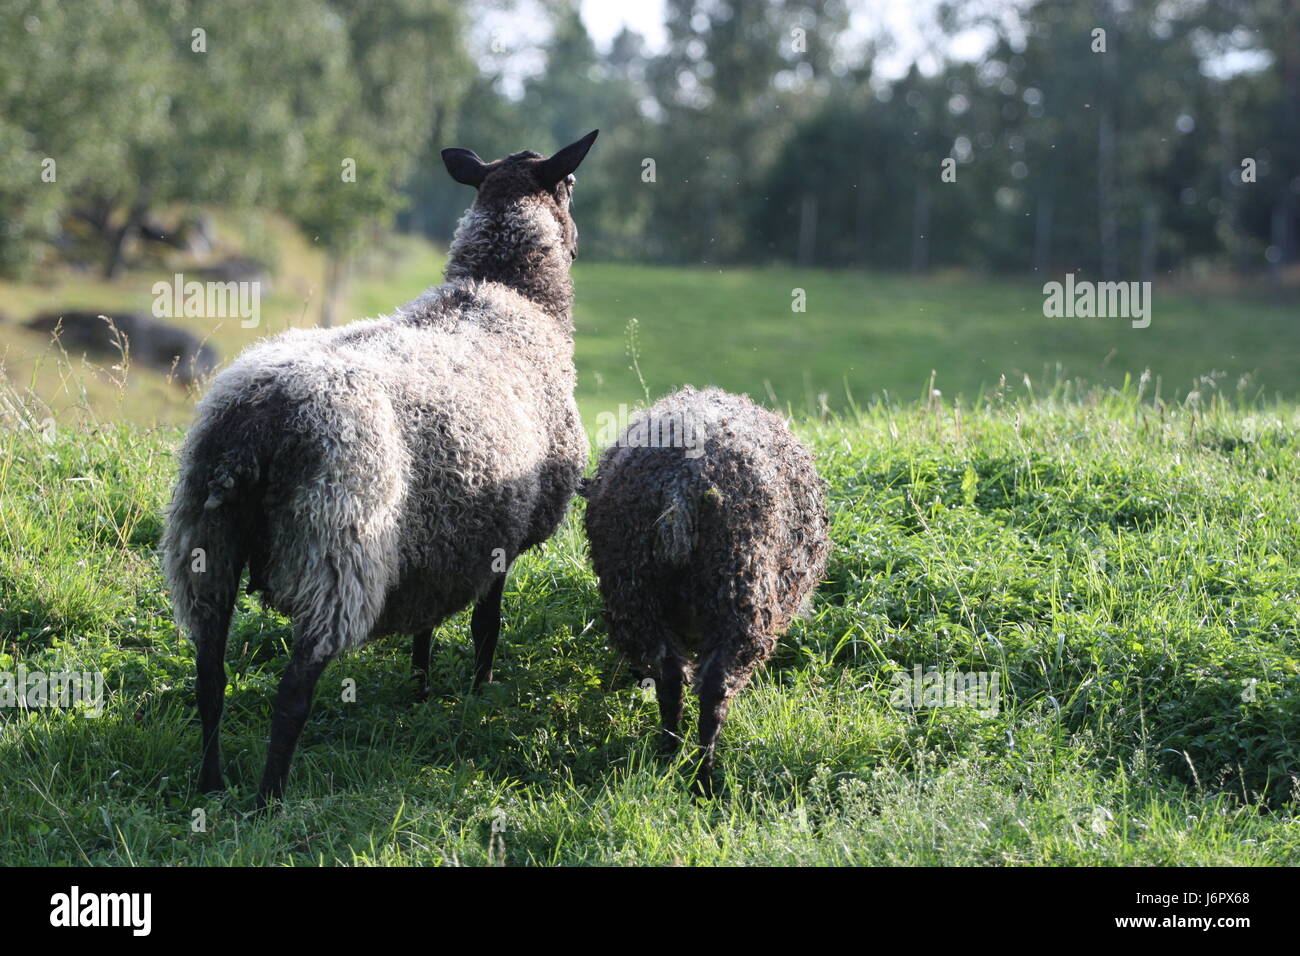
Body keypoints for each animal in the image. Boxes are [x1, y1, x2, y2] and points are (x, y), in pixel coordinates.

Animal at [161, 131, 598, 807]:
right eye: (571, 186)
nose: (579, 244)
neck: (510, 295)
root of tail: (257, 422)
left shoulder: (443, 535)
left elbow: (428, 622)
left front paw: (420, 689)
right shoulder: (504, 537)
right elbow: (486, 625)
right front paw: (479, 693)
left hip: (205, 545)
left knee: (210, 676)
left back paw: (211, 785)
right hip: (337, 553)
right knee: (294, 690)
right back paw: (268, 801)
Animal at [581, 386, 830, 795]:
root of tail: (684, 485)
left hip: (634, 590)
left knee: (667, 677)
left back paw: (668, 757)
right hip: (739, 590)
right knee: (715, 688)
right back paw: (704, 778)